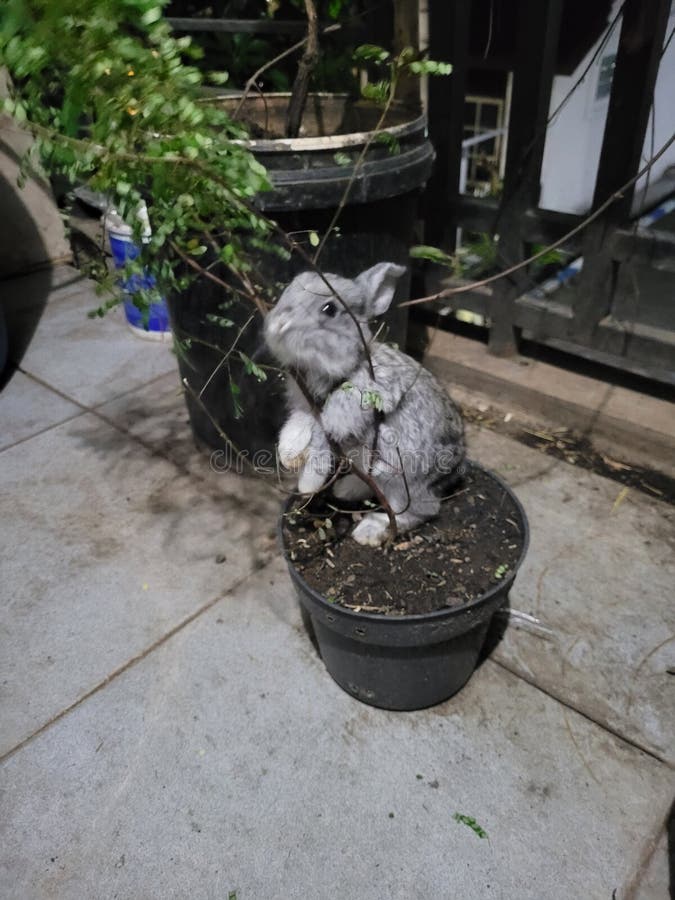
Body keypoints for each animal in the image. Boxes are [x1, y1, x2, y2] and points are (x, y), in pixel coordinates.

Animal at [264, 262, 465, 546]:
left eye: (329, 309)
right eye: (288, 289)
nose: (279, 325)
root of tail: (457, 468)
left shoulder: (347, 415)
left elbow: (321, 440)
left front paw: (308, 484)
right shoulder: (306, 408)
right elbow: (299, 424)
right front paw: (288, 454)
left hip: (404, 469)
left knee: (419, 509)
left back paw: (370, 530)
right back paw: (345, 489)